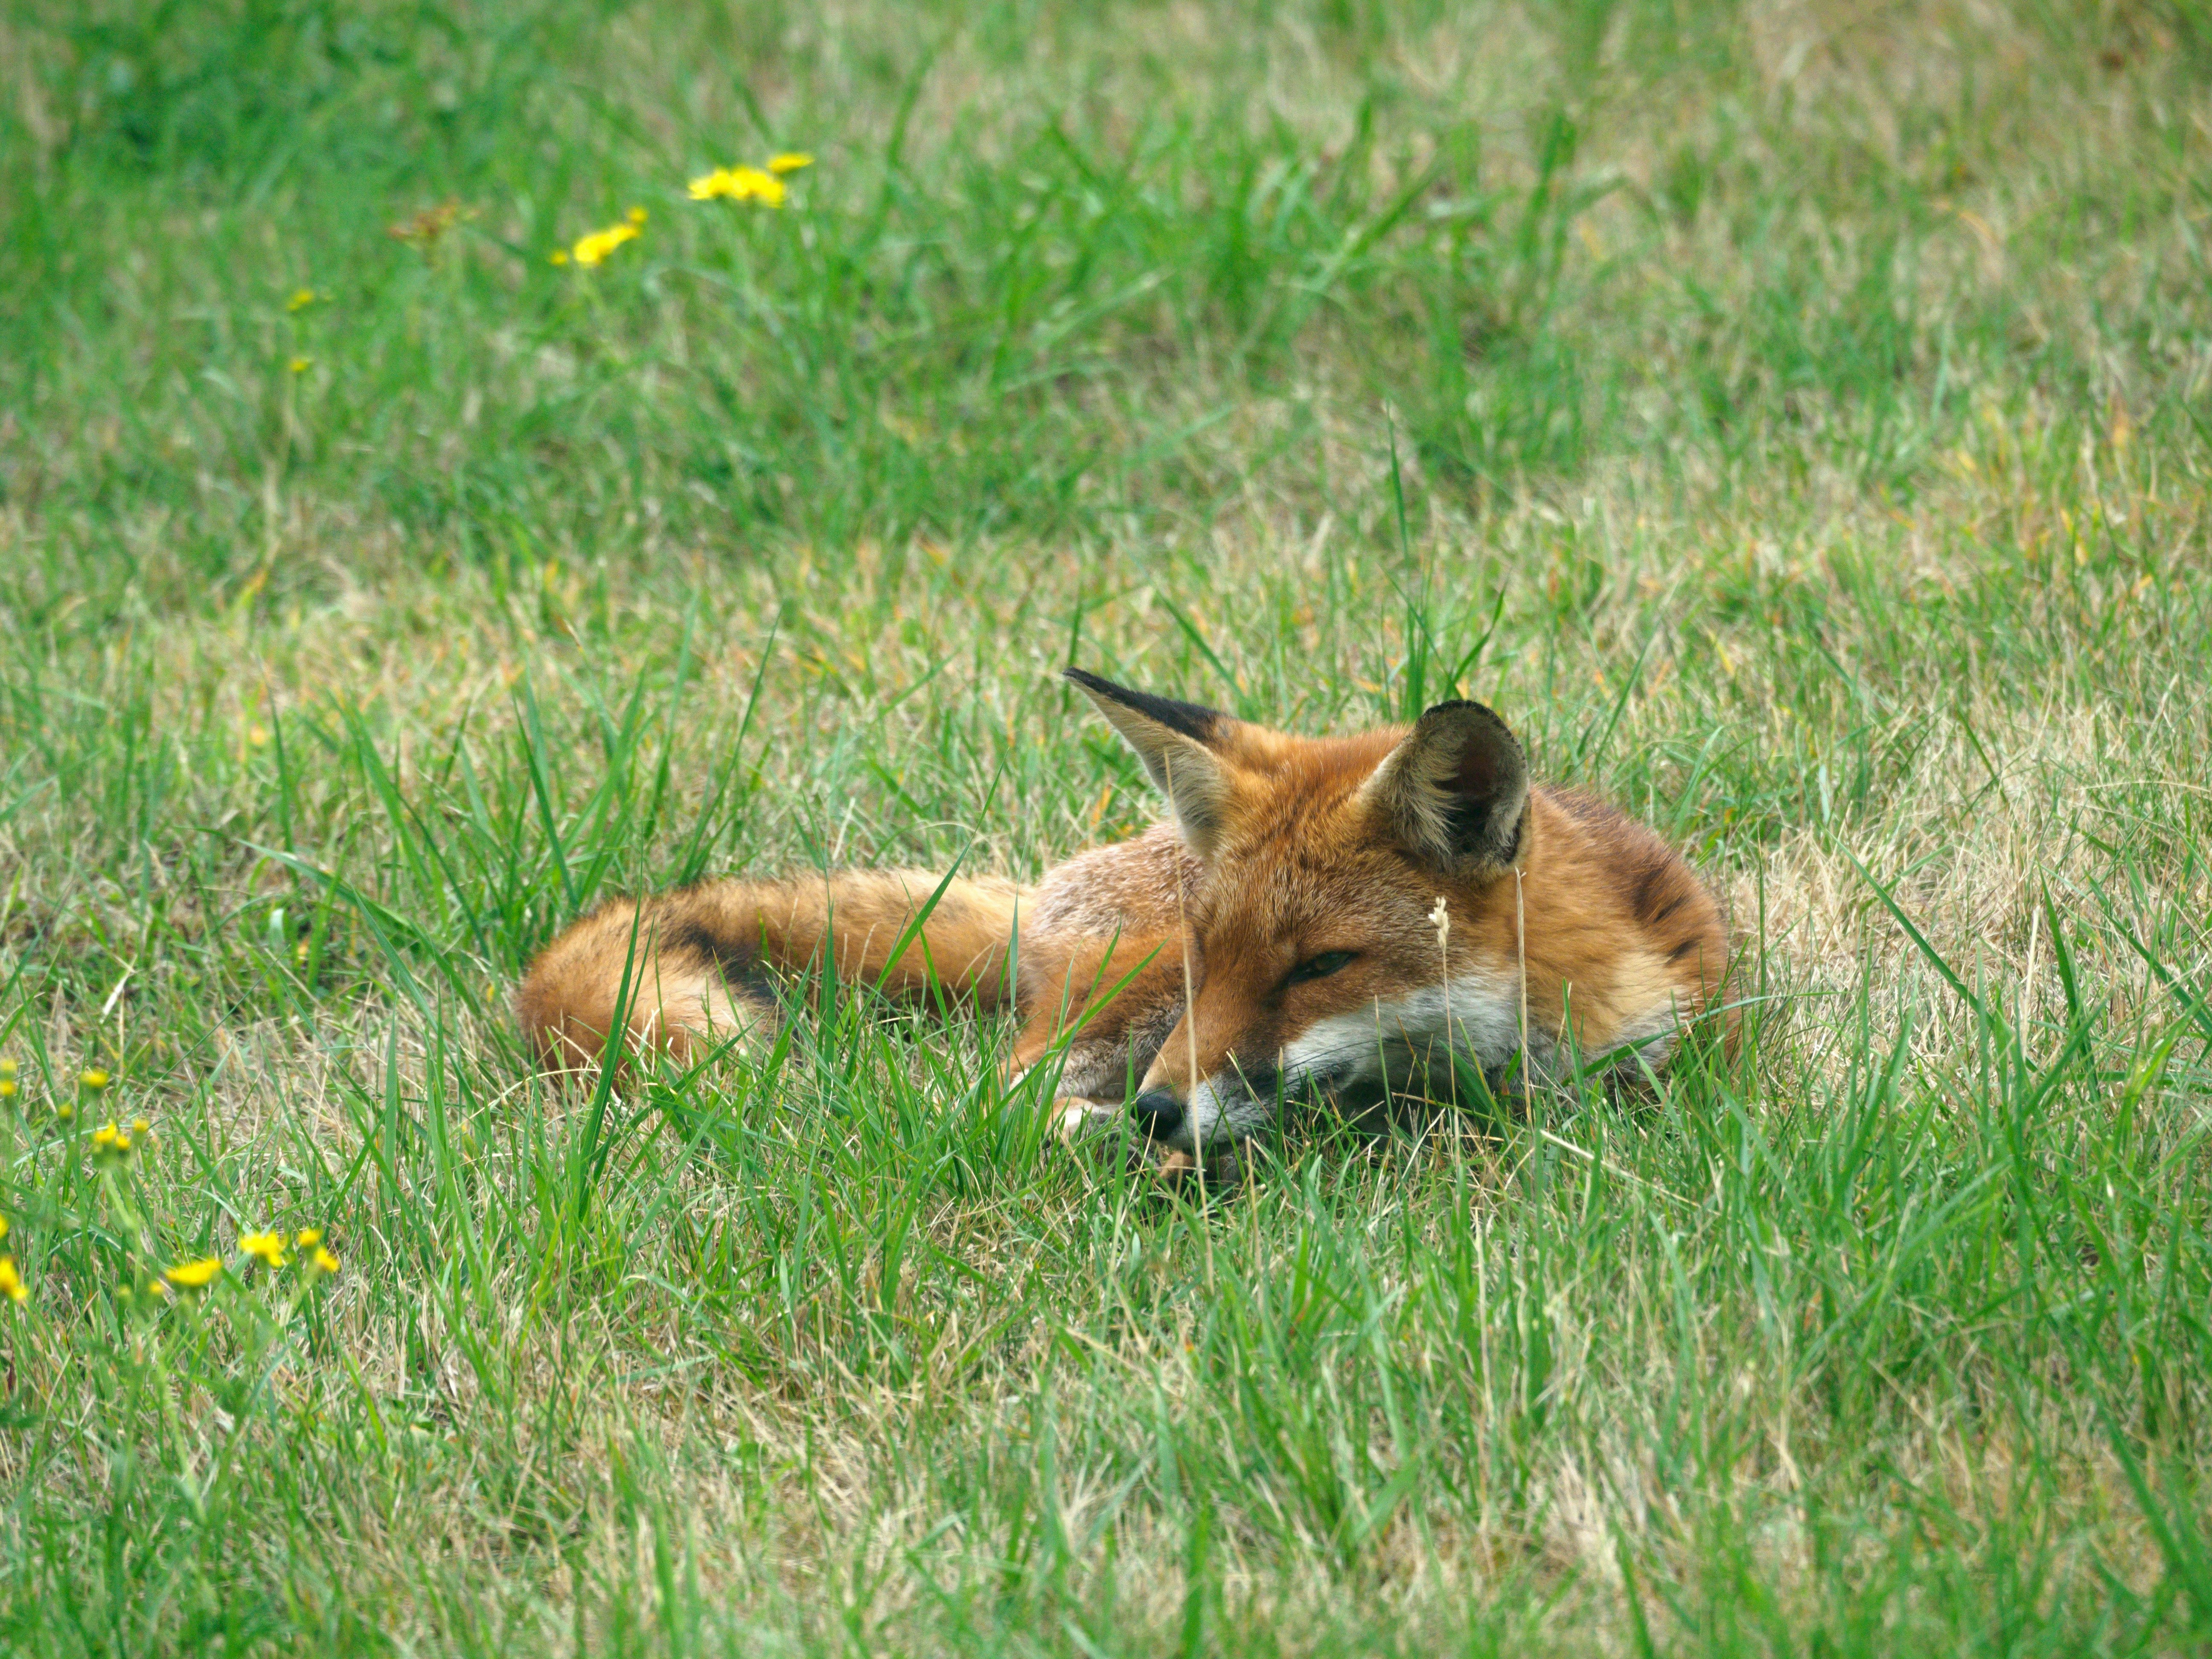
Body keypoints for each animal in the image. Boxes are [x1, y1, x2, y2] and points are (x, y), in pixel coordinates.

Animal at [516, 669, 1729, 1164]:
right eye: (1210, 955)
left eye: (1319, 966)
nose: (1157, 1113)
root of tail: (1045, 883)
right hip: (1120, 991)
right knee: (988, 1102)